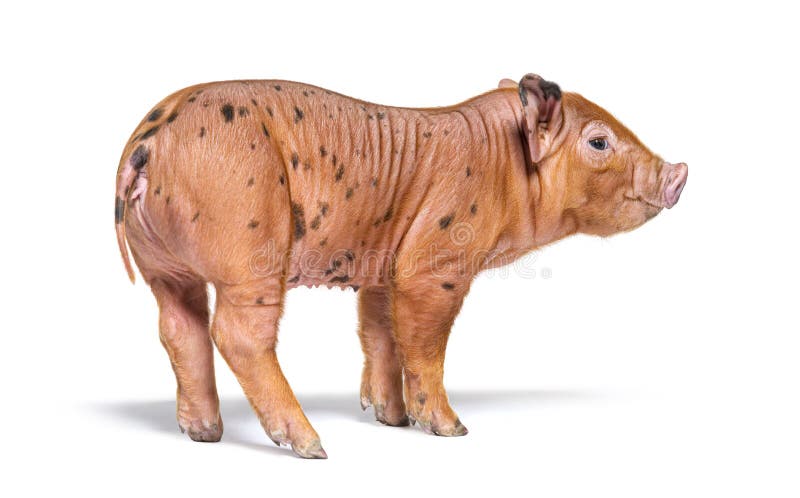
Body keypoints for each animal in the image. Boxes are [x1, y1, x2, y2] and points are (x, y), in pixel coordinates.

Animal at [114, 74, 687, 458]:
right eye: (599, 141)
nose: (680, 171)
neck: (506, 166)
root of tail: (149, 142)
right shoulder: (433, 265)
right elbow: (424, 346)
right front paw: (451, 430)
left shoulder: (381, 269)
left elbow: (379, 334)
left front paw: (391, 420)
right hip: (248, 245)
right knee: (236, 334)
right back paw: (313, 446)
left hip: (163, 265)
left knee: (178, 327)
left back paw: (203, 434)